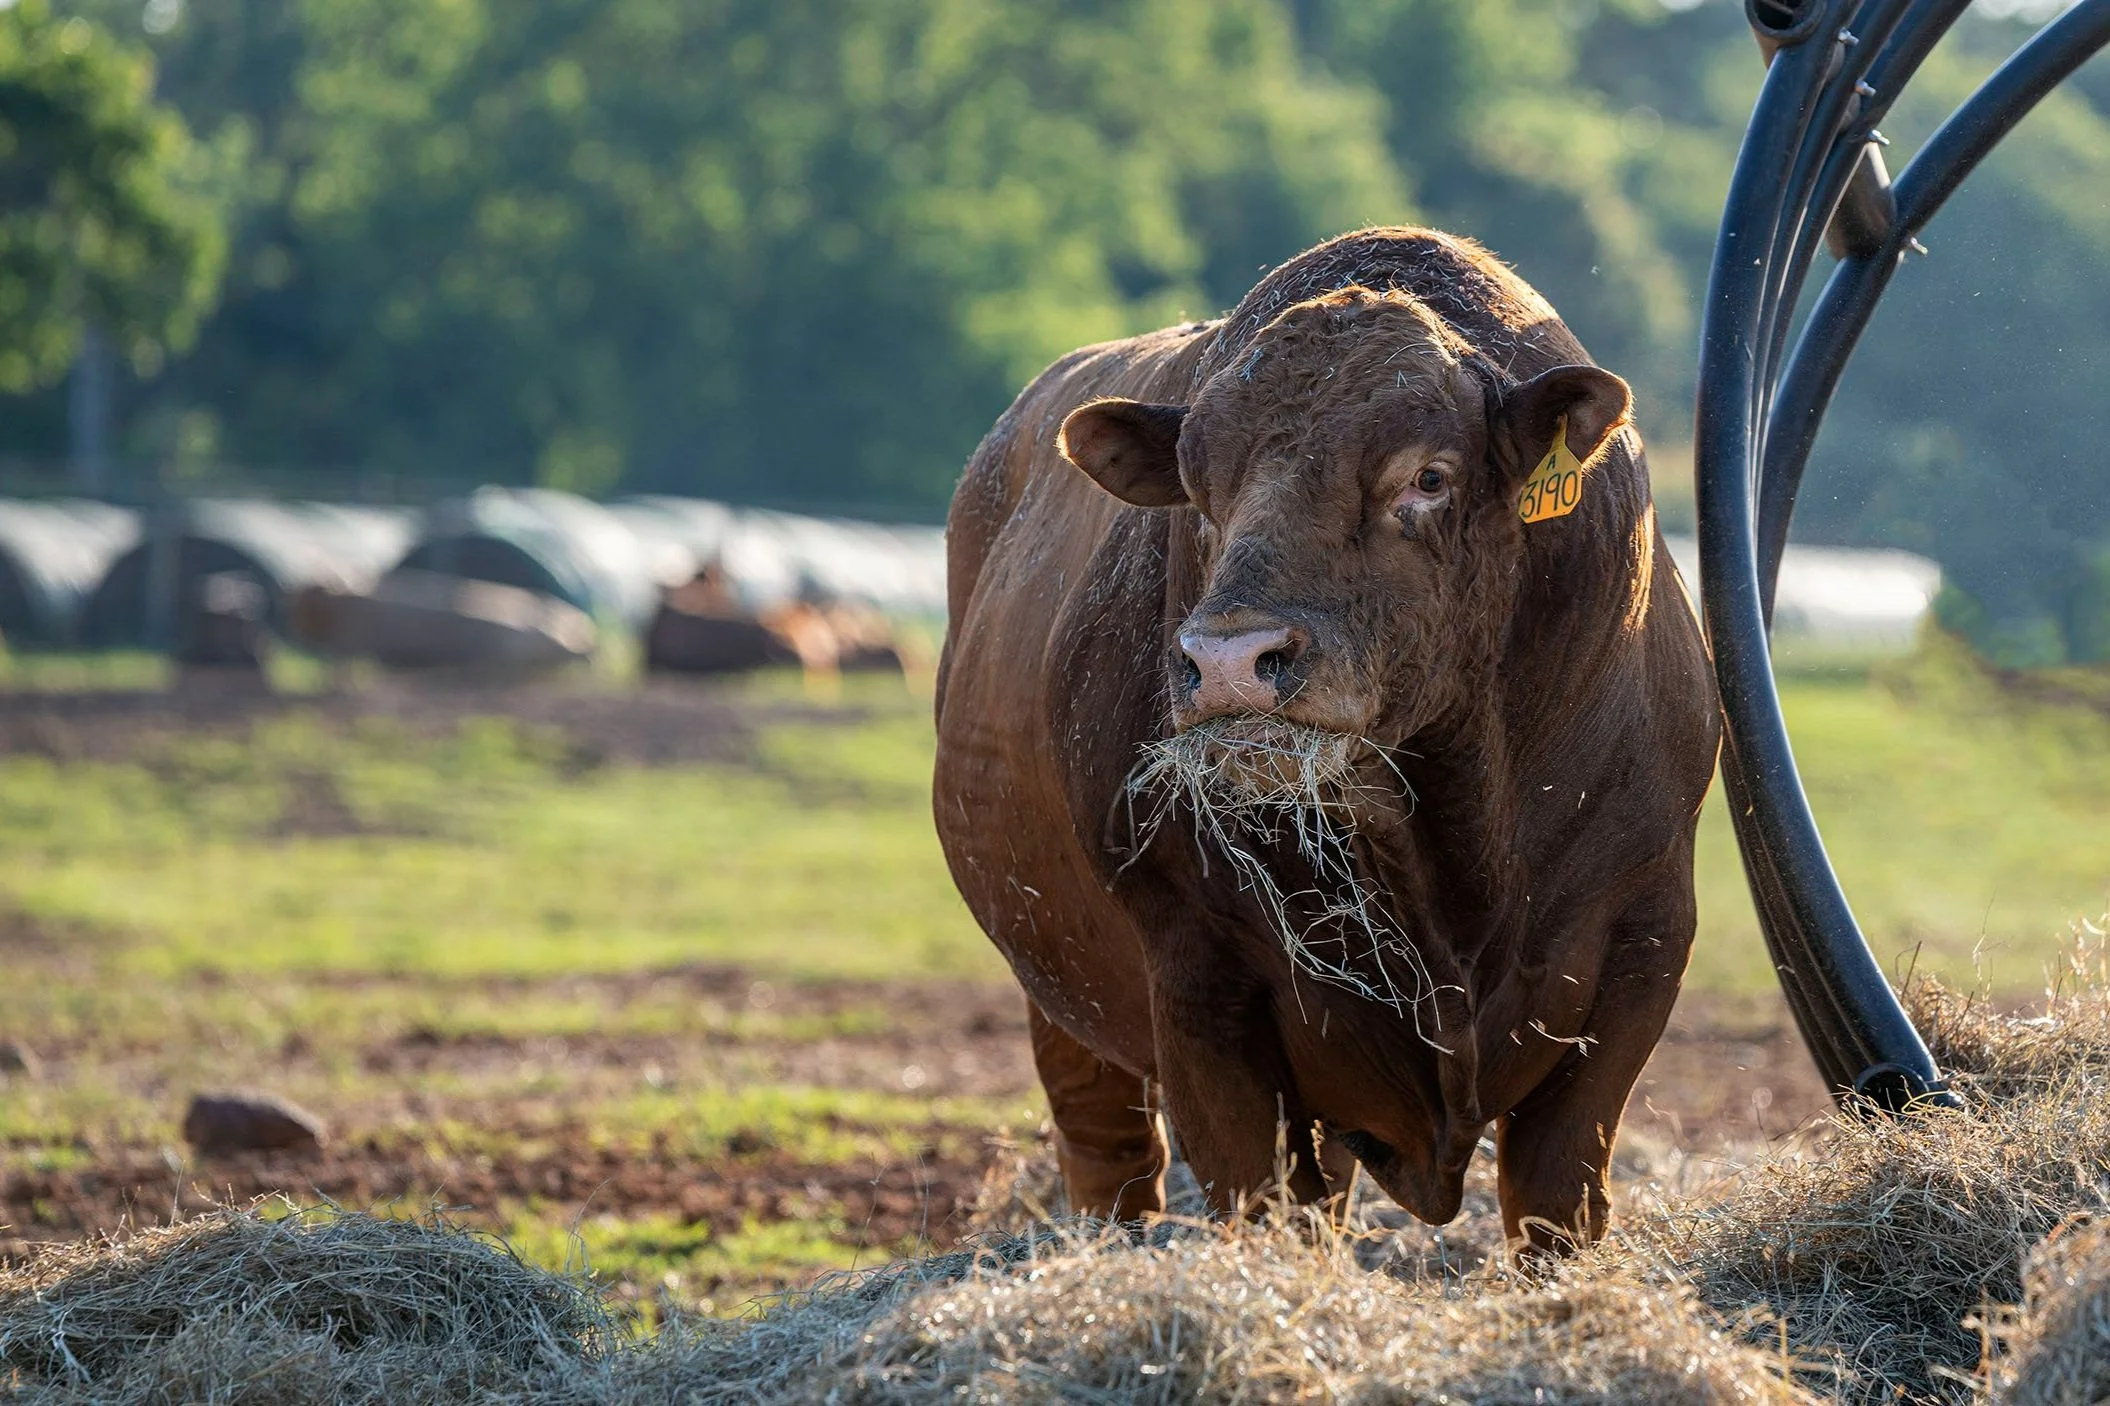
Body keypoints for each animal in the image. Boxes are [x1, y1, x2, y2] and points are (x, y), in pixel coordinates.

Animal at [932, 227, 1720, 1254]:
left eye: (1429, 477)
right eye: (1198, 491)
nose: (1229, 659)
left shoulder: (1639, 947)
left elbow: (1555, 1200)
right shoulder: (1197, 981)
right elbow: (1252, 1195)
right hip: (1058, 998)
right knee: (1110, 1158)